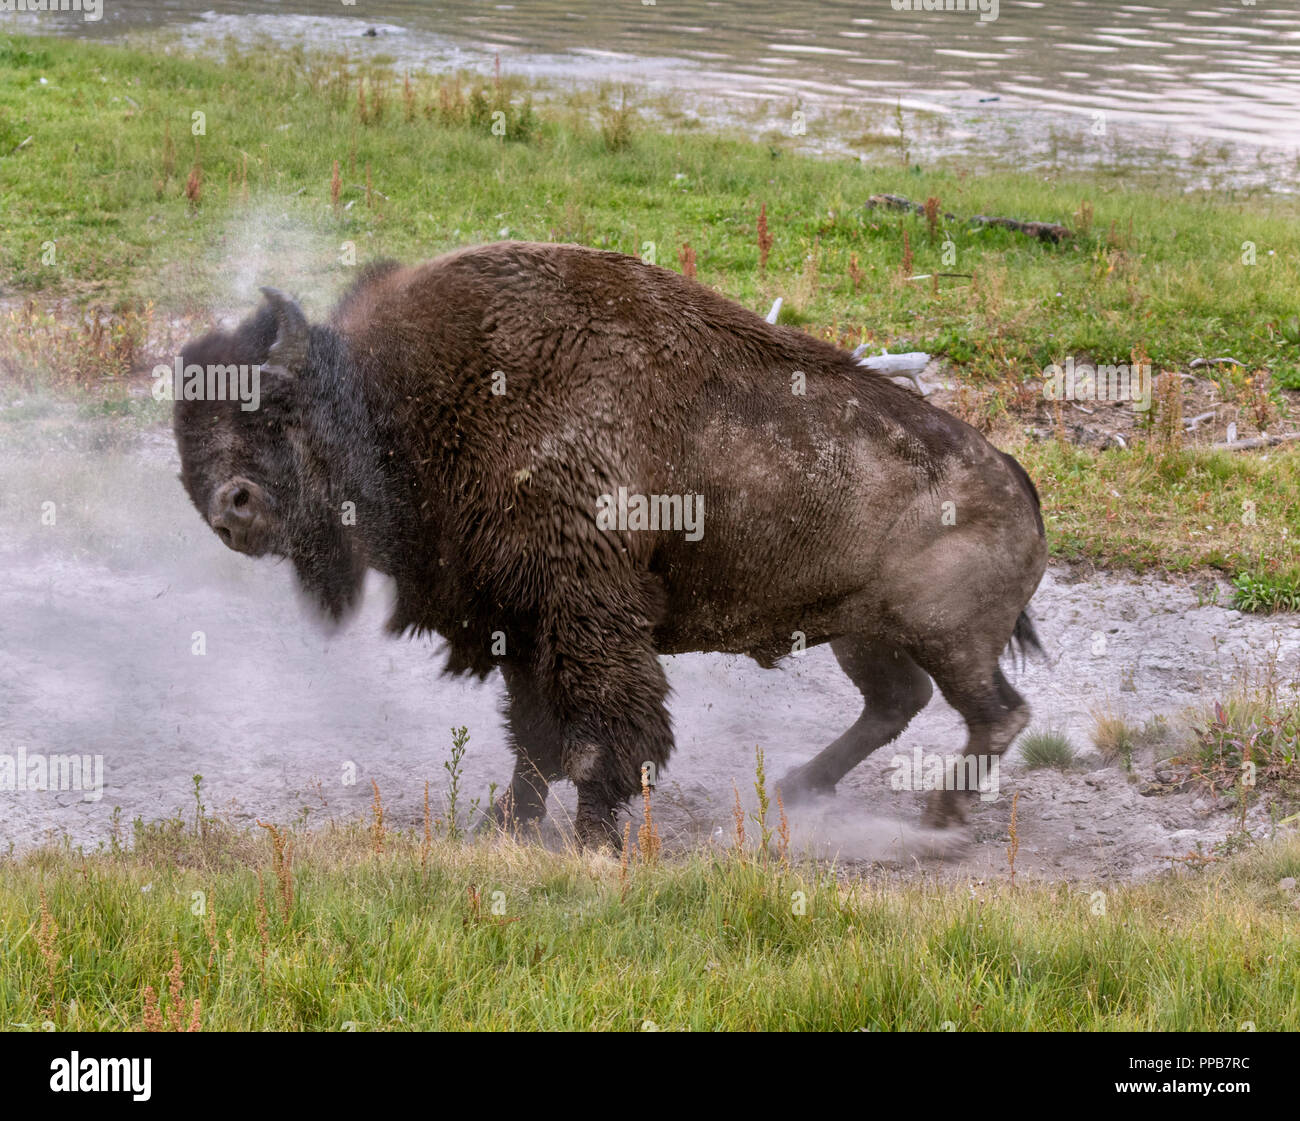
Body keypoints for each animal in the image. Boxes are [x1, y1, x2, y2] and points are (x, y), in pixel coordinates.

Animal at [173, 242, 1047, 848]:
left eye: (271, 405)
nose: (229, 510)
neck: (401, 394)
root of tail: (1014, 475)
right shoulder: (522, 624)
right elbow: (534, 738)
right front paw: (505, 825)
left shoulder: (583, 612)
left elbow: (602, 736)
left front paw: (596, 838)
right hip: (863, 633)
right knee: (901, 700)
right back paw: (803, 787)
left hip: (943, 636)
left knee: (996, 712)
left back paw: (937, 815)